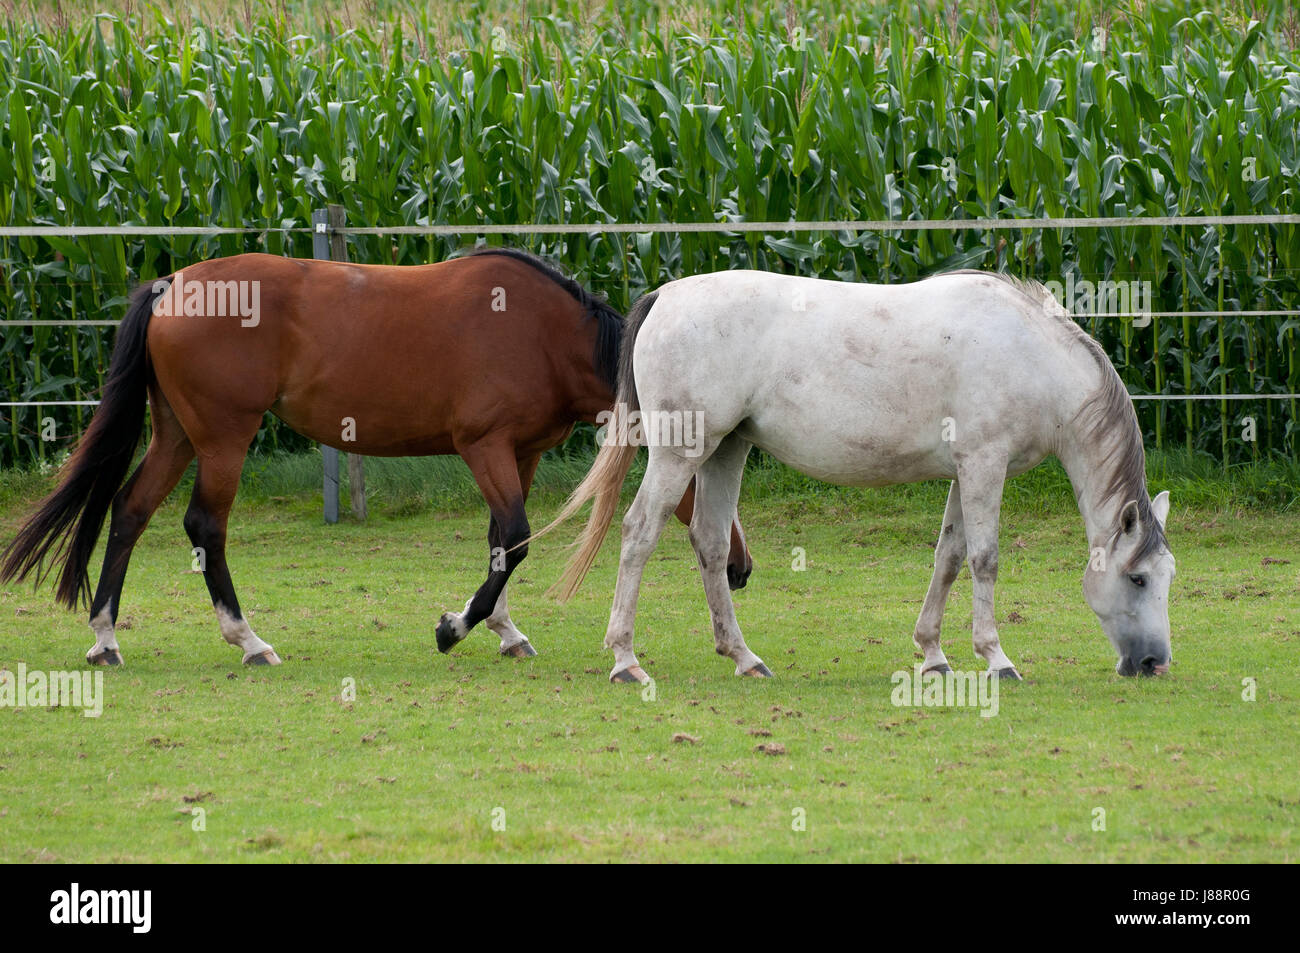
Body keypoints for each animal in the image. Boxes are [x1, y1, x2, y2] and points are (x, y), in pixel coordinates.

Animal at [0, 248, 753, 667]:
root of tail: (172, 286)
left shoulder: (521, 454)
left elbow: (501, 542)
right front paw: (456, 627)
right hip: (221, 439)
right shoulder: (484, 447)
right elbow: (513, 537)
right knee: (203, 527)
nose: (740, 567)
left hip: (177, 434)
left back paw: (106, 637)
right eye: (699, 463)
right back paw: (249, 640)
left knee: (128, 511)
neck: (542, 333)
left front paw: (502, 629)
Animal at [534, 269, 1175, 683]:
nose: (1154, 663)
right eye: (1138, 579)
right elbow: (984, 558)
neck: (1030, 353)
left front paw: (934, 654)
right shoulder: (984, 465)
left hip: (724, 450)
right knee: (639, 533)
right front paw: (996, 658)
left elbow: (948, 556)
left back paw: (744, 657)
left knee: (711, 544)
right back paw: (625, 661)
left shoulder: (964, 471)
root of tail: (665, 296)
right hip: (679, 454)